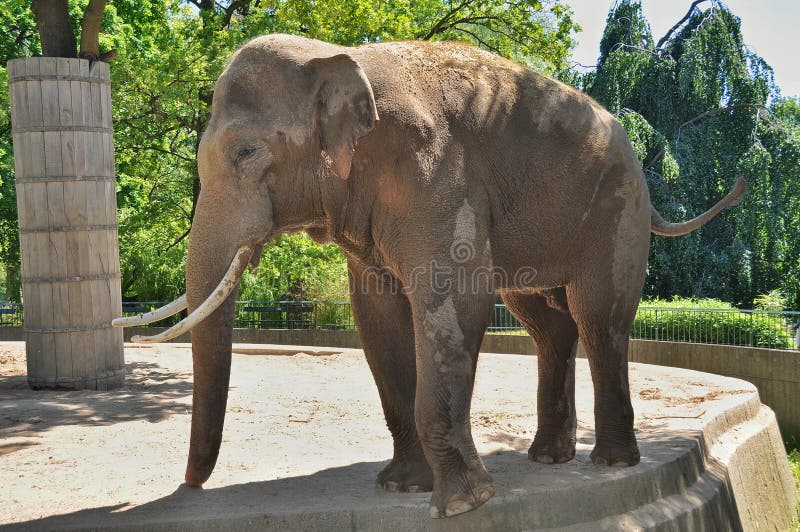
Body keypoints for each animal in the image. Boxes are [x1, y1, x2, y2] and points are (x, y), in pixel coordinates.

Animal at [114, 34, 746, 518]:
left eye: (245, 152)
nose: (190, 485)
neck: (344, 60)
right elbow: (377, 317)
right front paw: (401, 487)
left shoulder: (436, 170)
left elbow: (455, 300)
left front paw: (462, 503)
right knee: (545, 322)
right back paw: (548, 457)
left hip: (617, 211)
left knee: (599, 319)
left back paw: (611, 462)